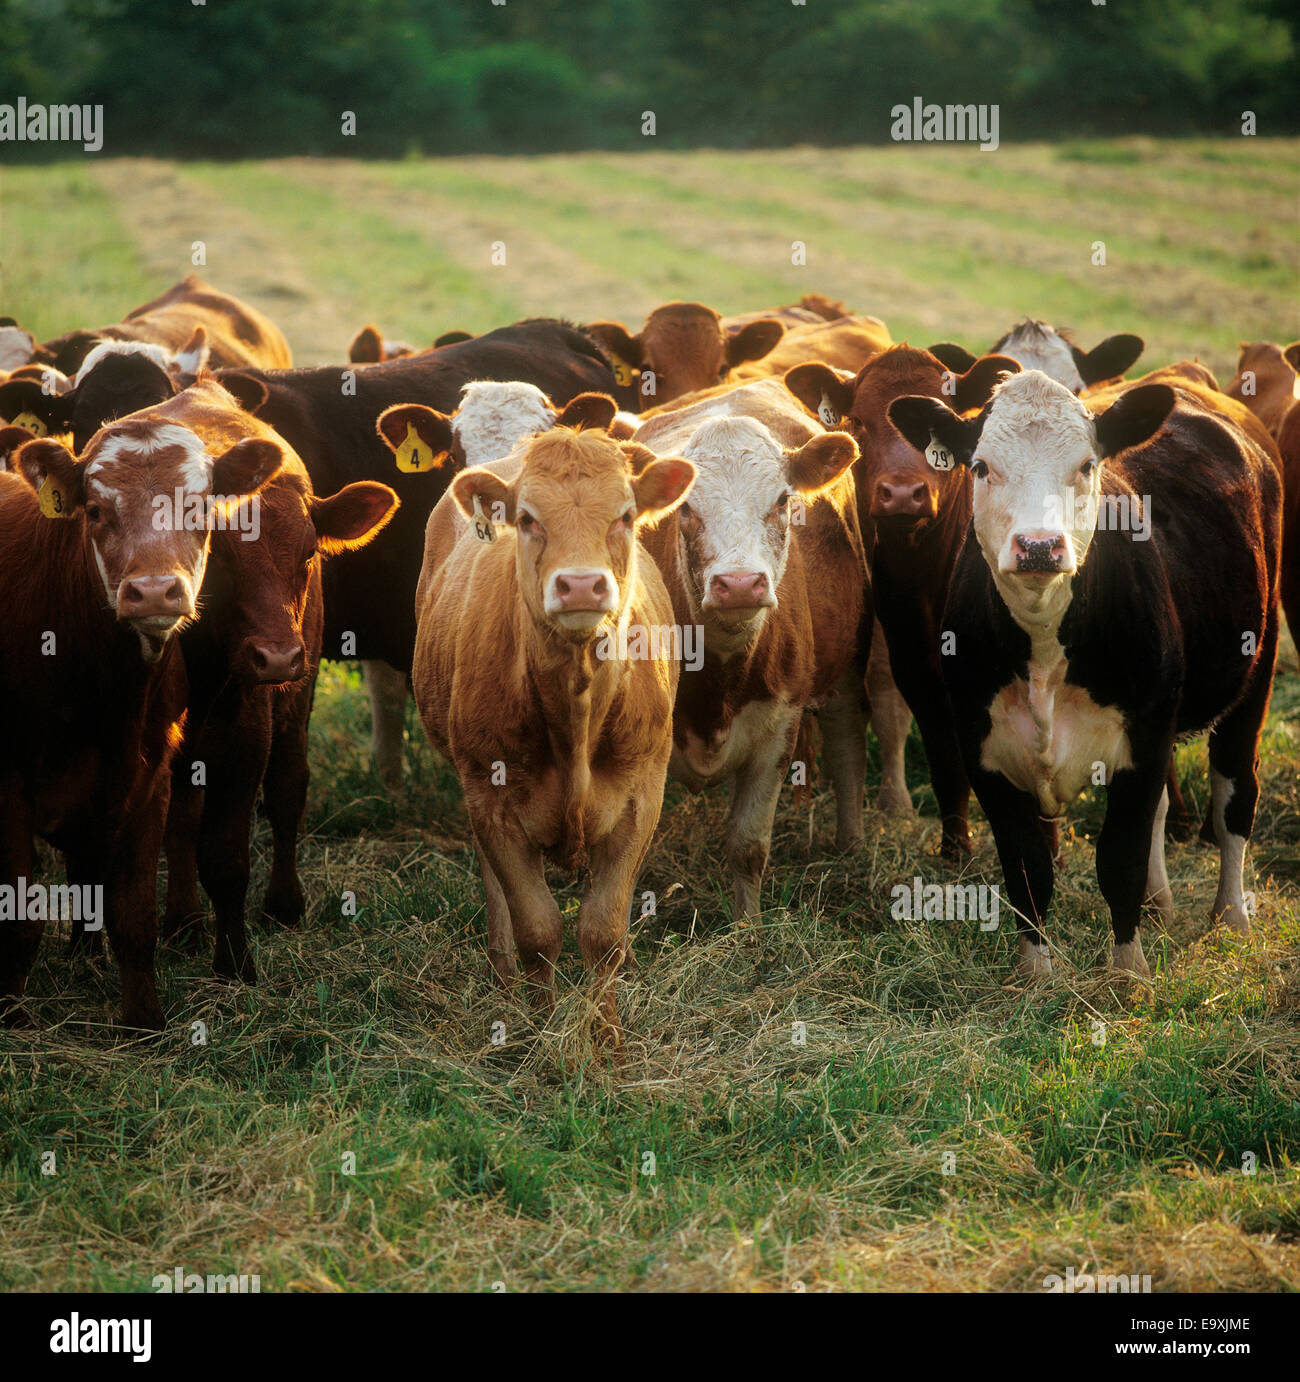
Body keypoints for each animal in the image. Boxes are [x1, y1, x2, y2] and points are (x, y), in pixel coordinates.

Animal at [0, 405, 282, 1029]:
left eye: (199, 508)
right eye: (96, 511)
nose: (153, 592)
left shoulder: (149, 777)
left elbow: (134, 917)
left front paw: (144, 1022)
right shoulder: (7, 790)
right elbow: (18, 921)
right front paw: (11, 1015)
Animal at [378, 415, 696, 1044]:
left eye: (625, 515)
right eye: (526, 518)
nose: (581, 585)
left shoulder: (642, 797)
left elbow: (602, 932)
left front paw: (607, 1042)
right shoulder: (493, 801)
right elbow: (539, 930)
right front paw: (538, 1034)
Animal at [632, 379, 867, 916]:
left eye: (782, 500)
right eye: (686, 508)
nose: (739, 584)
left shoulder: (780, 730)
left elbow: (748, 845)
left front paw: (748, 926)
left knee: (846, 740)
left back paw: (851, 846)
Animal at [786, 347, 1020, 859]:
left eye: (942, 424)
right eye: (858, 421)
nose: (900, 495)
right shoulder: (916, 668)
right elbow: (946, 761)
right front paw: (955, 850)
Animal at [887, 370, 1280, 979]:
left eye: (1087, 465)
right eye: (981, 467)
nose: (1039, 546)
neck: (1045, 647)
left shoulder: (1144, 738)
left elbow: (1119, 858)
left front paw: (1129, 975)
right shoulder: (982, 749)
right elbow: (1027, 867)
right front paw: (1035, 975)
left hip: (1255, 671)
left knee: (1234, 795)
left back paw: (1231, 916)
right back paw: (1160, 903)